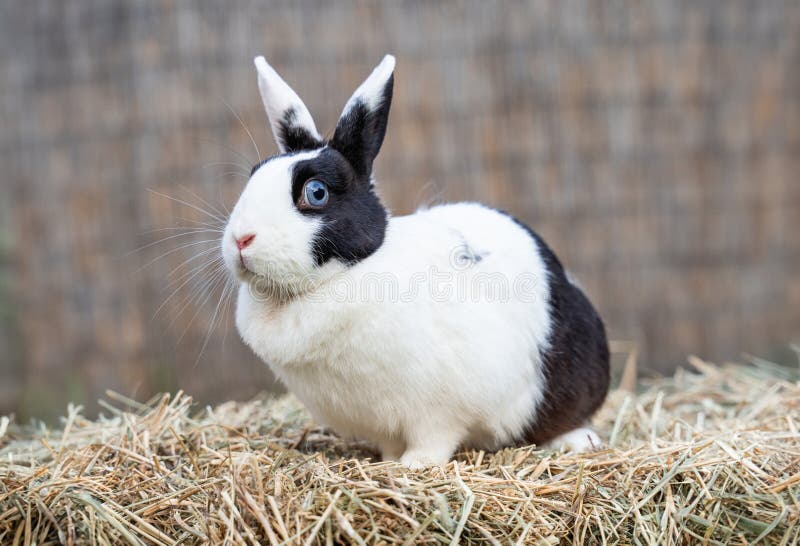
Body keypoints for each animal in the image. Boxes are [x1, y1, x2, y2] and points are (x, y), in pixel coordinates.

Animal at [221, 54, 610, 468]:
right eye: (253, 175)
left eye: (316, 192)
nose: (241, 239)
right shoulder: (381, 423)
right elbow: (389, 445)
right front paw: (389, 464)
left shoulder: (438, 413)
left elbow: (433, 441)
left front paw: (414, 466)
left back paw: (577, 441)